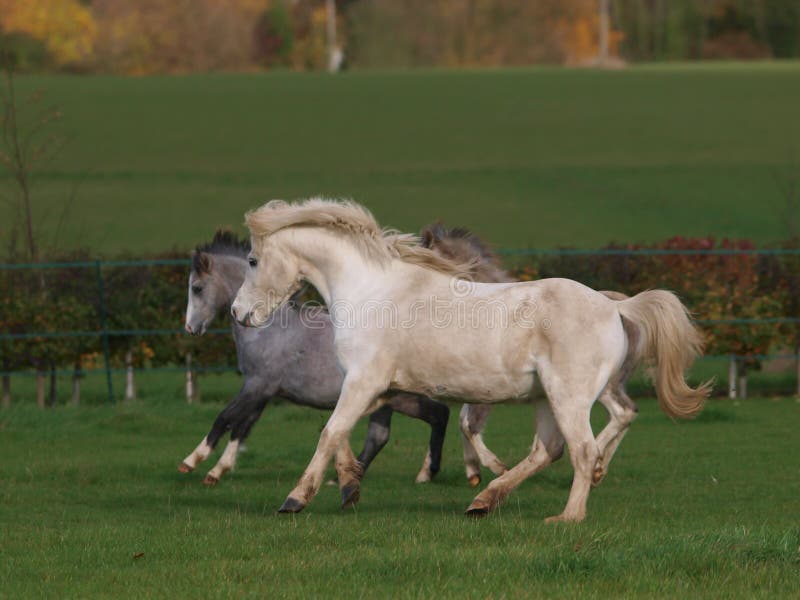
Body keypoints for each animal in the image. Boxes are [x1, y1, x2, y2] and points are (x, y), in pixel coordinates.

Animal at [180, 227, 509, 490]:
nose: (191, 328)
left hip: (398, 398)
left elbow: (225, 418)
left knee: (433, 417)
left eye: (197, 288)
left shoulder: (257, 386)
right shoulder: (263, 392)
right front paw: (217, 471)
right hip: (388, 400)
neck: (270, 330)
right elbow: (241, 428)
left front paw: (193, 461)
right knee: (390, 432)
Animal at [232, 198, 711, 522]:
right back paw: (483, 500)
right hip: (545, 397)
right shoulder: (372, 388)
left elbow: (330, 433)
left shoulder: (363, 381)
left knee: (582, 449)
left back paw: (566, 516)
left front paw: (295, 499)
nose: (238, 313)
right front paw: (349, 487)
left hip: (569, 396)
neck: (373, 292)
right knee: (548, 450)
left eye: (252, 260)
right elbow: (340, 433)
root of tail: (615, 306)